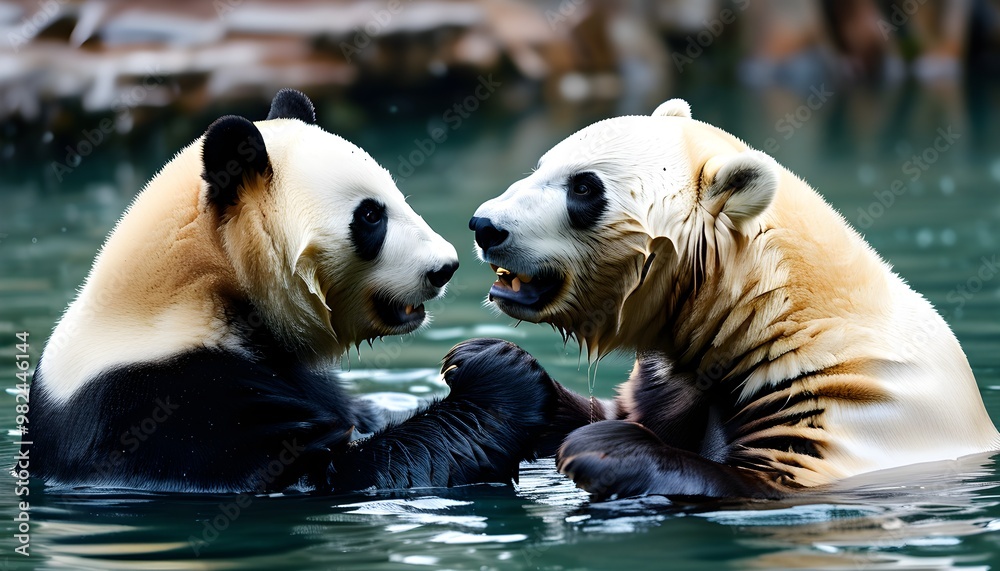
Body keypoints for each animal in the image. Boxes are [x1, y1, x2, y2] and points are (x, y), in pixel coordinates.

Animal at [468, 98, 1000, 500]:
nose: (484, 225)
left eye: (583, 187)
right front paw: (495, 366)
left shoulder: (851, 412)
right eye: (542, 167)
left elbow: (759, 483)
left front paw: (604, 449)